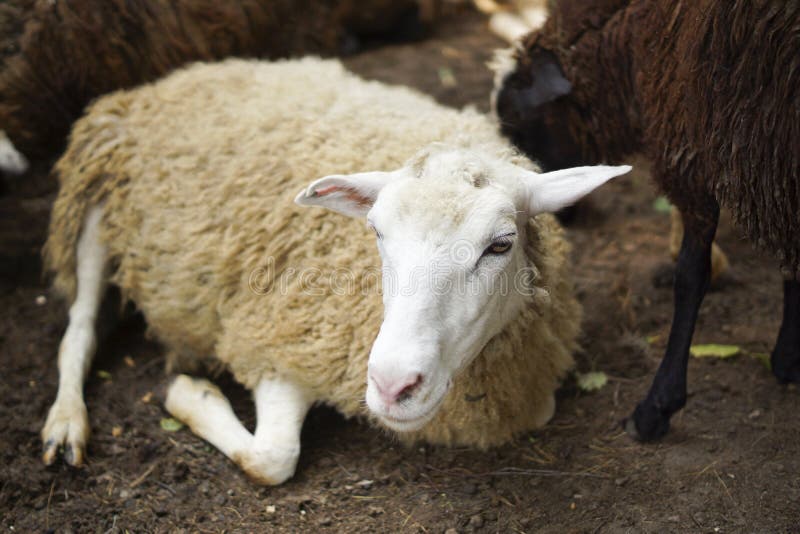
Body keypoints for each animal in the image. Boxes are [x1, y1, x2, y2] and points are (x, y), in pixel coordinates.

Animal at [42, 56, 630, 483]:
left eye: (502, 244)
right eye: (377, 232)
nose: (392, 386)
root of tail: (185, 74)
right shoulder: (275, 338)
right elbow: (272, 460)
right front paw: (190, 395)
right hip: (94, 208)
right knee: (79, 330)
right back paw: (65, 426)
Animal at [492, 0, 800, 442]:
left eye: (516, 119)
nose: (562, 215)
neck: (639, 26)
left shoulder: (691, 149)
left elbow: (690, 277)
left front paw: (657, 407)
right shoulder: (777, 163)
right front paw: (790, 357)